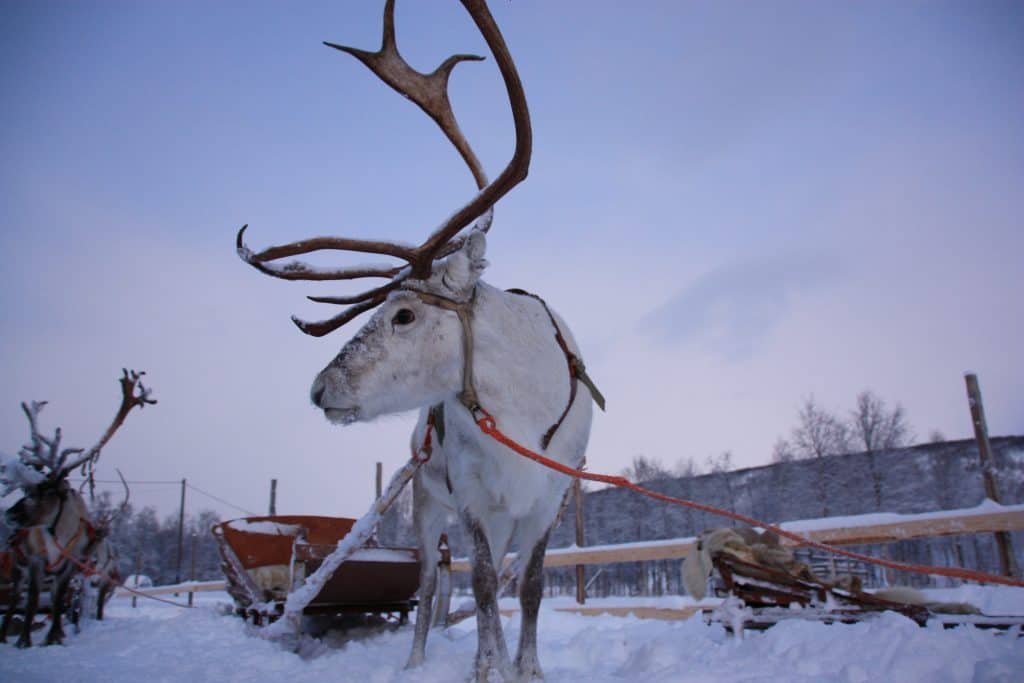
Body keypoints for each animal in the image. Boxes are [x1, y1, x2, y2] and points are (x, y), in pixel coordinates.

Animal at [0, 370, 154, 647]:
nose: (10, 514)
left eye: (48, 492)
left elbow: (61, 598)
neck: (59, 536)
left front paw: (54, 637)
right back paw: (8, 633)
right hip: (19, 568)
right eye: (28, 491)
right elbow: (33, 601)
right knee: (17, 599)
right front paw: (26, 641)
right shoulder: (37, 561)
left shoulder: (73, 567)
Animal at [236, 1, 602, 679]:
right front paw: (486, 668)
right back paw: (413, 662)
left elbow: (530, 587)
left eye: (403, 314)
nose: (320, 387)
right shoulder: (472, 497)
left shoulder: (548, 497)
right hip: (426, 505)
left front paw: (527, 668)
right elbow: (478, 585)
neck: (522, 404)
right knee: (432, 584)